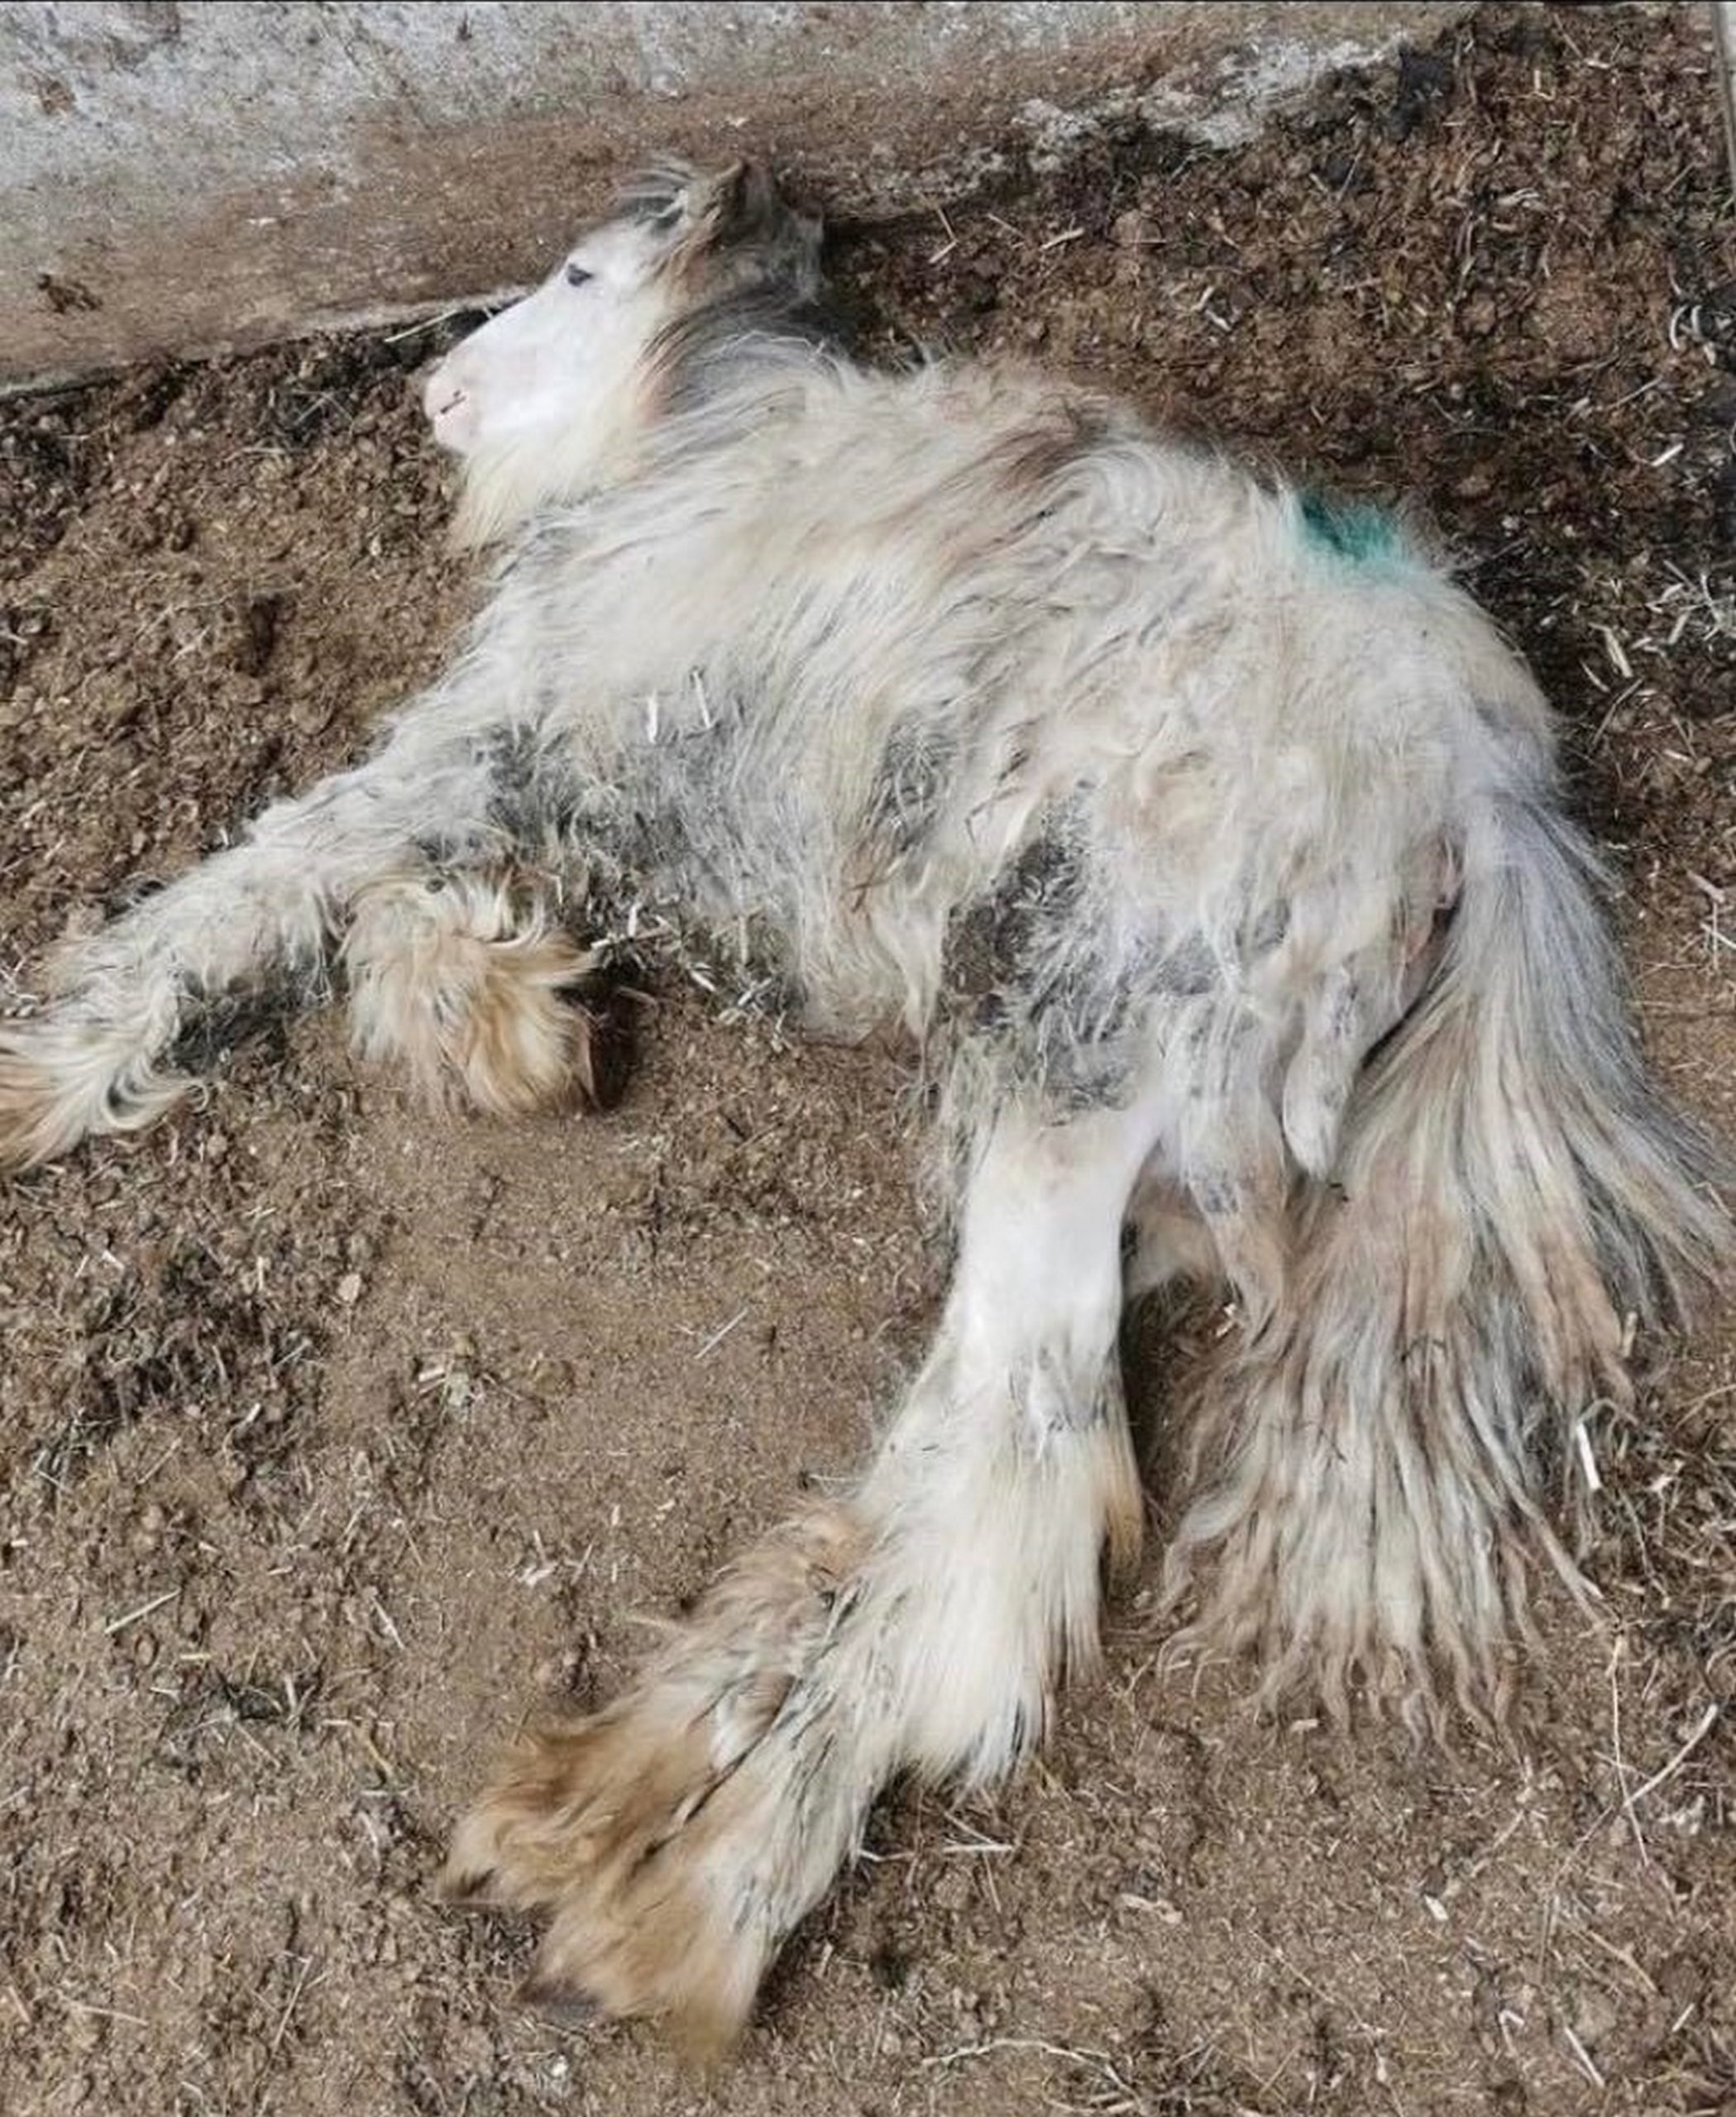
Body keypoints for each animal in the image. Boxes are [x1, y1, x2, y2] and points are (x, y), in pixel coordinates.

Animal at [0, 155, 1729, 2057]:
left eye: (579, 274)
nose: (432, 391)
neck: (711, 422)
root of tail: (1479, 793)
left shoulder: (525, 729)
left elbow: (272, 868)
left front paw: (41, 1066)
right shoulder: (606, 798)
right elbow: (397, 908)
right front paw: (521, 1031)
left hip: (1071, 1037)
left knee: (1007, 1474)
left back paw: (678, 1890)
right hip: (1160, 1145)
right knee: (934, 1486)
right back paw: (625, 1799)